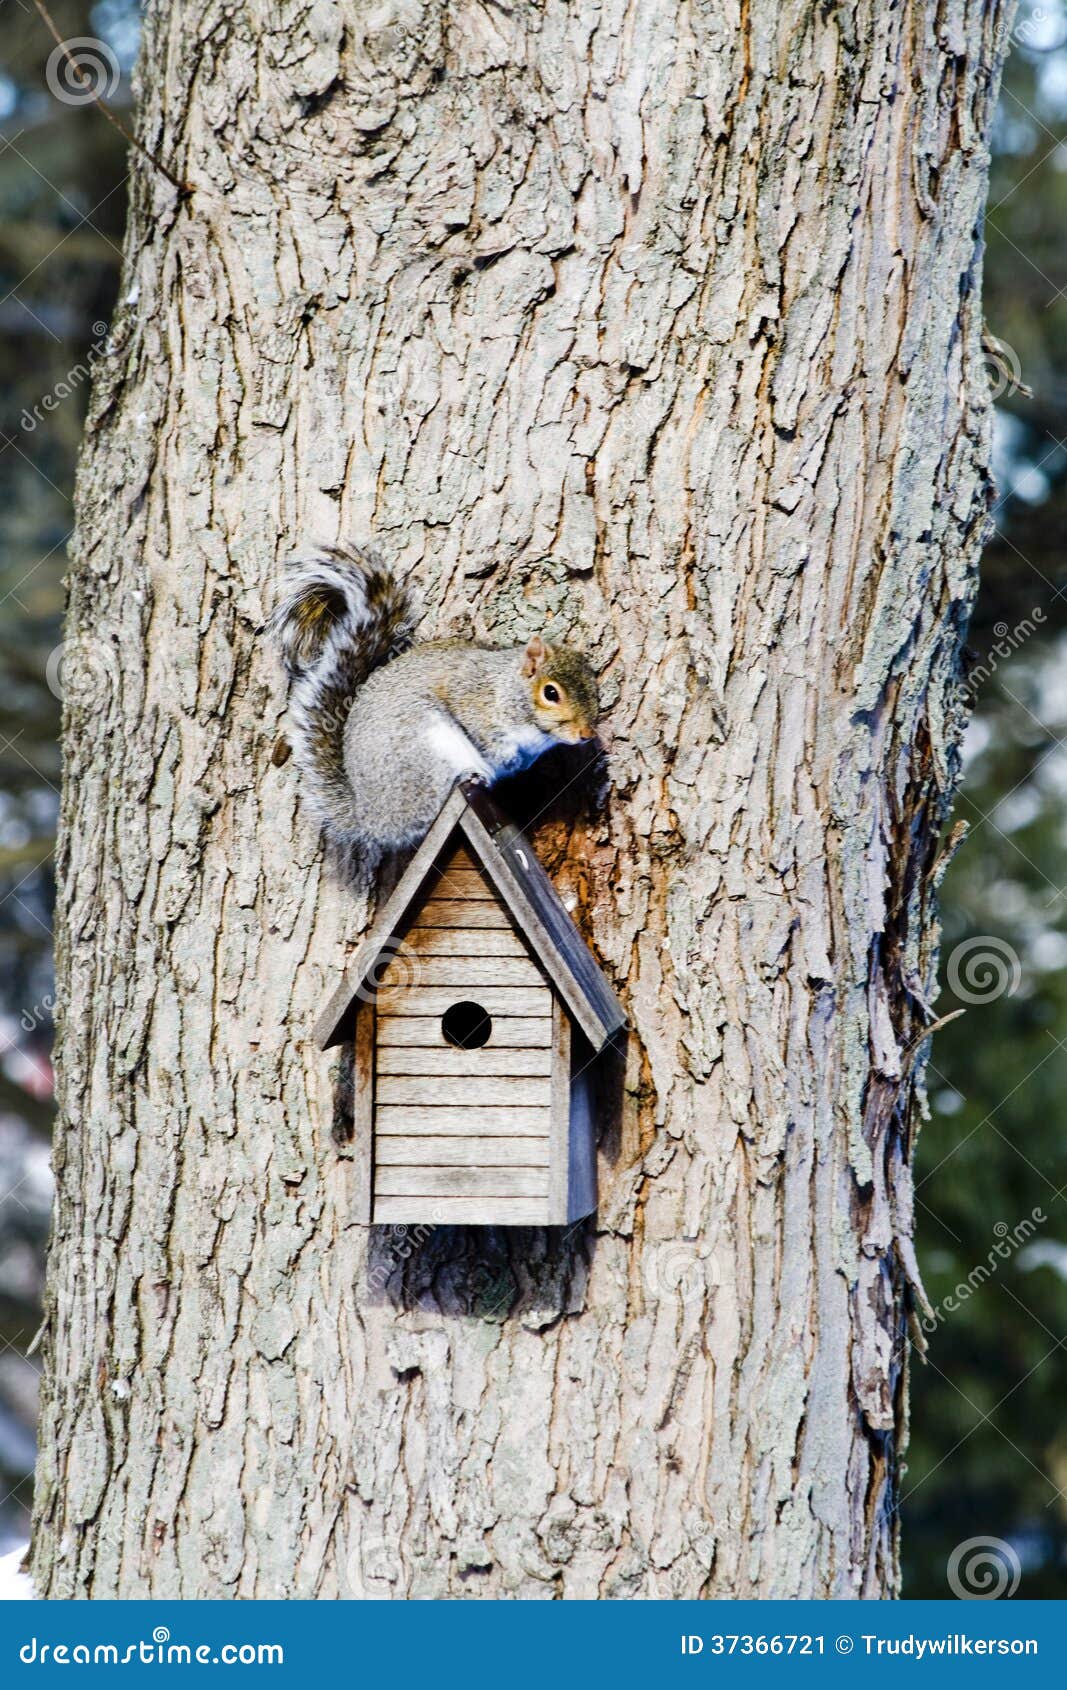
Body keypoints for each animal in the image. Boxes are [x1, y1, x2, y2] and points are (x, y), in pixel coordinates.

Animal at [267, 542, 600, 870]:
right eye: (551, 693)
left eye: (596, 690)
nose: (587, 735)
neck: (506, 689)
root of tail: (370, 817)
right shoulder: (470, 695)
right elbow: (482, 733)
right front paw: (505, 758)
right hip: (429, 753)